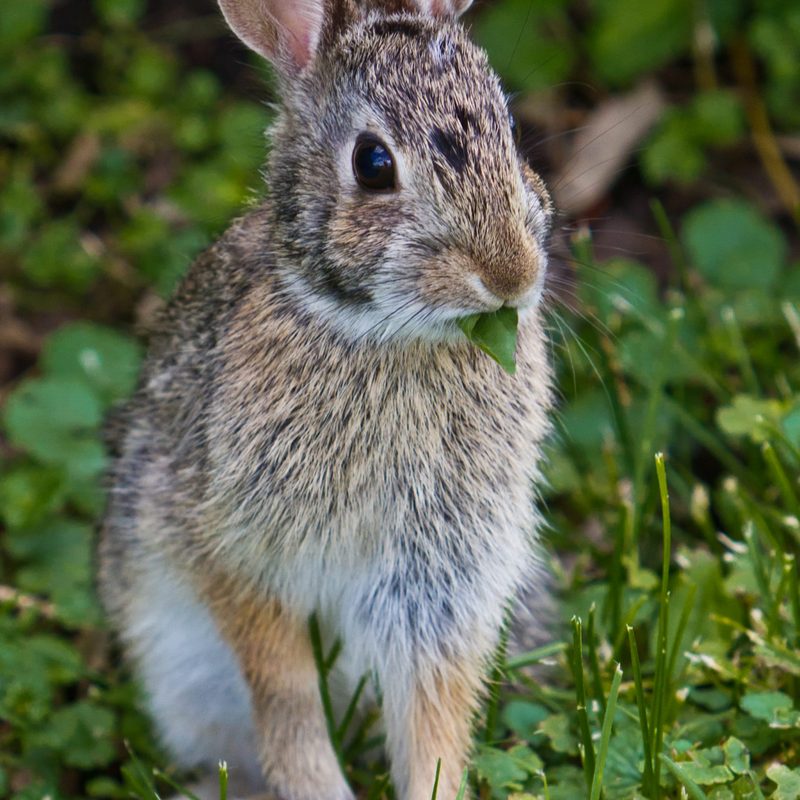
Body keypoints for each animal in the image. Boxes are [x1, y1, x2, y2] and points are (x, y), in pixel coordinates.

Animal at [98, 0, 554, 798]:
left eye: (508, 127)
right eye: (373, 164)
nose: (509, 274)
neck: (380, 334)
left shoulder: (438, 576)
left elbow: (432, 708)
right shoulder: (231, 545)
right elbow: (283, 688)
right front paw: (318, 785)